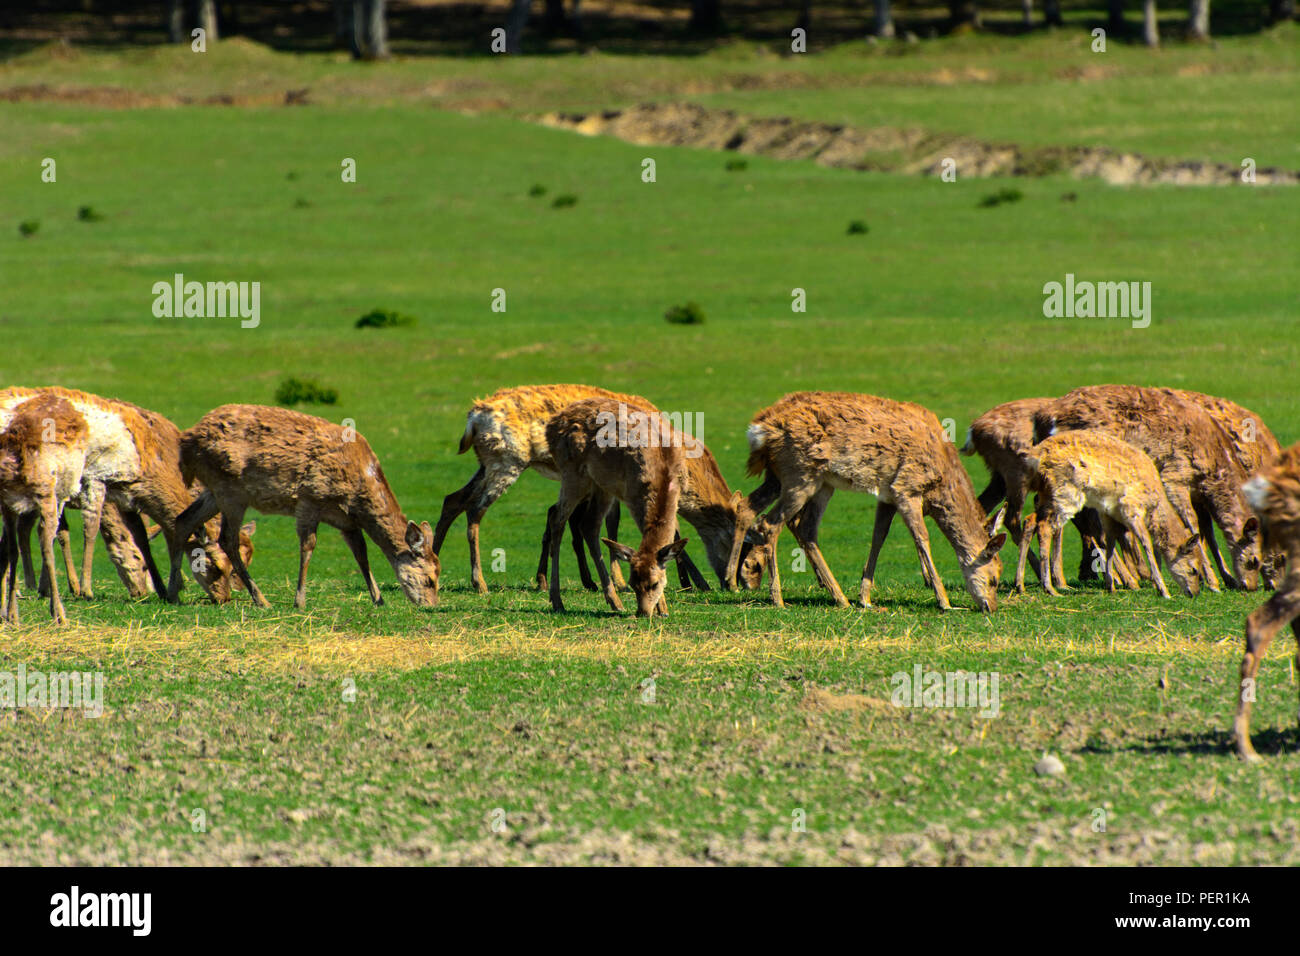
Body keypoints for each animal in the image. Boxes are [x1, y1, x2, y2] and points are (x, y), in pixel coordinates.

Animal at [0, 394, 89, 624]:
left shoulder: (25, 501)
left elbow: (21, 549)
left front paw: (13, 614)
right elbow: (41, 548)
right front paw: (58, 613)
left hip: (41, 499)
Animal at [171, 404, 439, 610]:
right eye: (430, 580)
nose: (430, 605)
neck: (358, 495)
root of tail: (187, 440)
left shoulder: (346, 519)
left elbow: (361, 553)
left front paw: (379, 599)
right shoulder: (311, 498)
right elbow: (308, 546)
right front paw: (299, 601)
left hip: (214, 490)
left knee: (184, 520)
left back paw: (172, 593)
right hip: (230, 489)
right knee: (228, 539)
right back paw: (261, 600)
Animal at [544, 396, 689, 617]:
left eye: (654, 584)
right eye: (633, 583)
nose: (642, 612)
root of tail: (549, 428)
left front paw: (662, 609)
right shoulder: (633, 495)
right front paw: (662, 608)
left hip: (602, 484)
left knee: (589, 524)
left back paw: (614, 601)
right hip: (572, 472)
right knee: (557, 519)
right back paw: (557, 600)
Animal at [737, 392, 1007, 612]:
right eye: (994, 578)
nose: (990, 607)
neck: (940, 480)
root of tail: (758, 431)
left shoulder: (887, 497)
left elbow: (879, 537)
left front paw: (865, 598)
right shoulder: (907, 488)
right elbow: (922, 538)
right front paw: (945, 602)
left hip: (813, 482)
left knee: (799, 525)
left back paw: (840, 598)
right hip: (800, 475)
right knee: (770, 524)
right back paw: (777, 599)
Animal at [1027, 430, 1202, 599]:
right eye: (1194, 569)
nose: (1195, 593)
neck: (1154, 504)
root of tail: (1038, 453)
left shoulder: (1108, 513)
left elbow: (1110, 544)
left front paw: (1110, 587)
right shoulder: (1131, 509)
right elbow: (1146, 543)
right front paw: (1163, 591)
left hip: (1046, 494)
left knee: (1032, 520)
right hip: (1066, 494)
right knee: (1044, 527)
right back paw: (1050, 588)